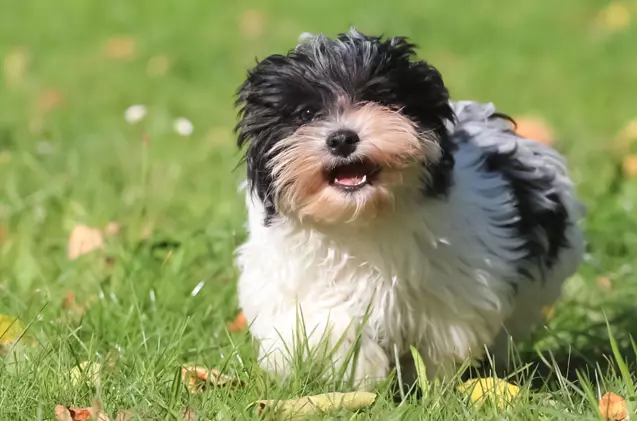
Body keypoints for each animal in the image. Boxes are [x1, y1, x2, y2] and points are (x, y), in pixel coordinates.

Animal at [231, 28, 584, 390]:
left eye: (379, 97)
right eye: (304, 114)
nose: (342, 138)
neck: (363, 216)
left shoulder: (457, 284)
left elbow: (443, 333)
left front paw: (428, 383)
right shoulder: (291, 280)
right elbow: (328, 321)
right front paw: (360, 374)